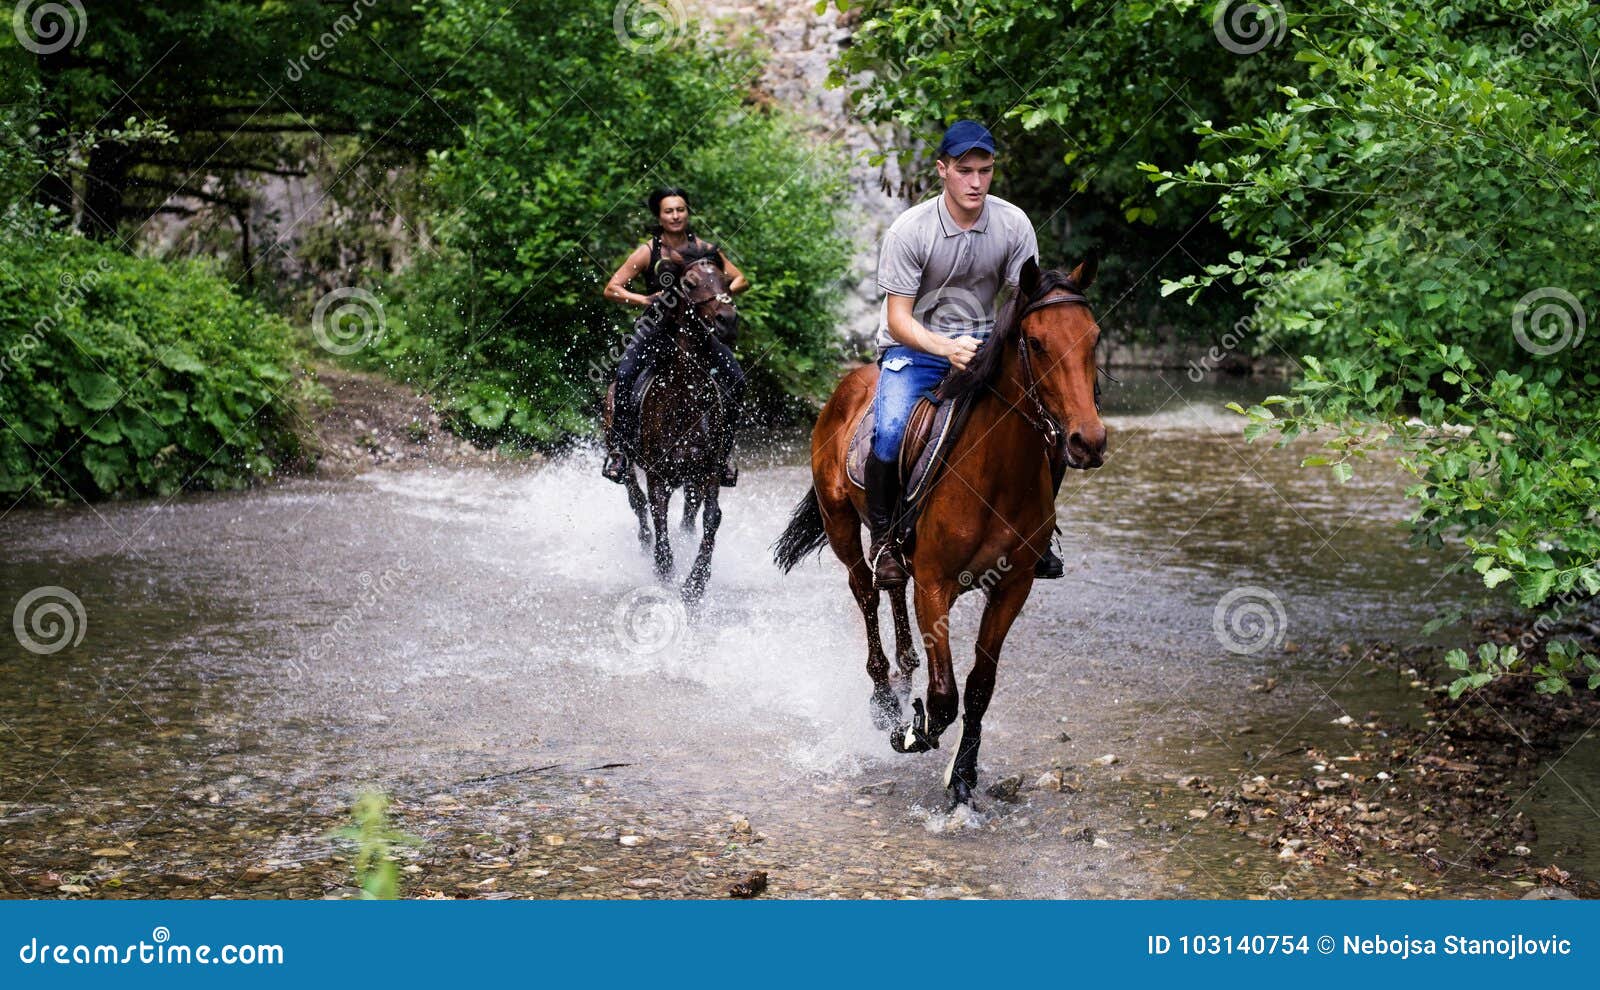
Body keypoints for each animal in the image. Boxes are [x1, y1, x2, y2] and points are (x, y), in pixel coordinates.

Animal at [773, 257, 1106, 804]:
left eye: (1094, 337)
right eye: (1036, 342)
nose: (1088, 441)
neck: (996, 475)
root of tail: (850, 382)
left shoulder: (1012, 586)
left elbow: (978, 687)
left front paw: (963, 778)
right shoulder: (935, 582)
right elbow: (945, 694)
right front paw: (912, 731)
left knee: (891, 583)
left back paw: (906, 673)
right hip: (841, 527)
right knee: (867, 592)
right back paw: (886, 701)